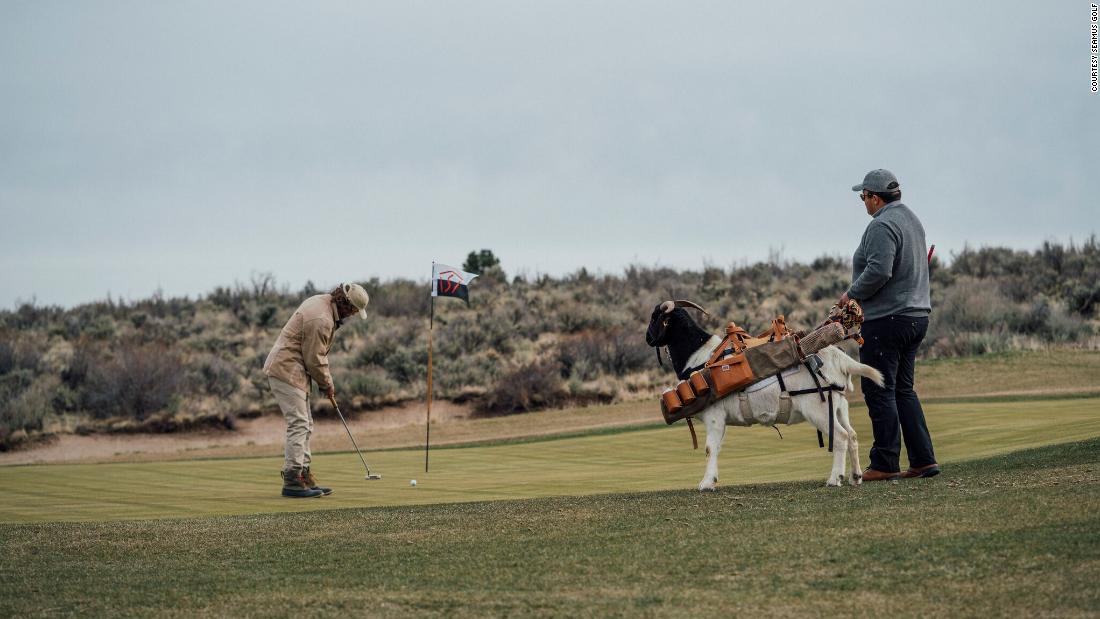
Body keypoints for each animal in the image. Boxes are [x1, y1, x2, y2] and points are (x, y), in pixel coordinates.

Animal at [642, 301, 884, 490]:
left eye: (655, 317)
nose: (647, 338)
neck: (699, 358)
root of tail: (840, 359)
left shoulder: (714, 417)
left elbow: (710, 448)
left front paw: (706, 484)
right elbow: (716, 448)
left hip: (820, 409)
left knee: (841, 437)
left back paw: (835, 479)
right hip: (840, 406)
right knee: (852, 436)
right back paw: (856, 477)